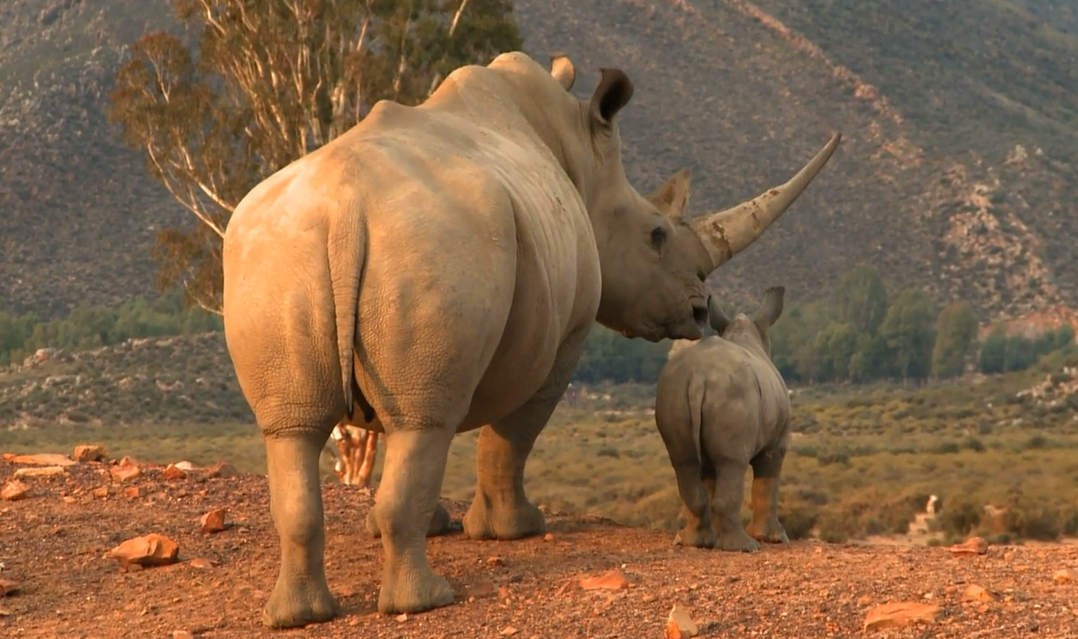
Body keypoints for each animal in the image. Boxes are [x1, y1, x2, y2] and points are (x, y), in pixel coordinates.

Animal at [654, 286, 792, 552]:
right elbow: (767, 483)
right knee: (733, 463)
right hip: (734, 392)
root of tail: (698, 377)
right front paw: (775, 538)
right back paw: (746, 547)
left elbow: (709, 478)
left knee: (684, 462)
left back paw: (694, 542)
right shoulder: (776, 443)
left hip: (675, 390)